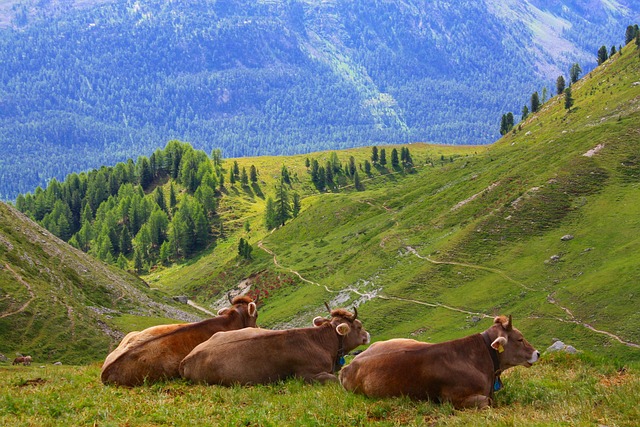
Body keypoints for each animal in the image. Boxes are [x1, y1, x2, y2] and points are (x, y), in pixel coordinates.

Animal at [179, 306, 370, 385]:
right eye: (359, 326)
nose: (367, 335)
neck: (320, 342)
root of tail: (186, 359)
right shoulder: (305, 374)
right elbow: (333, 379)